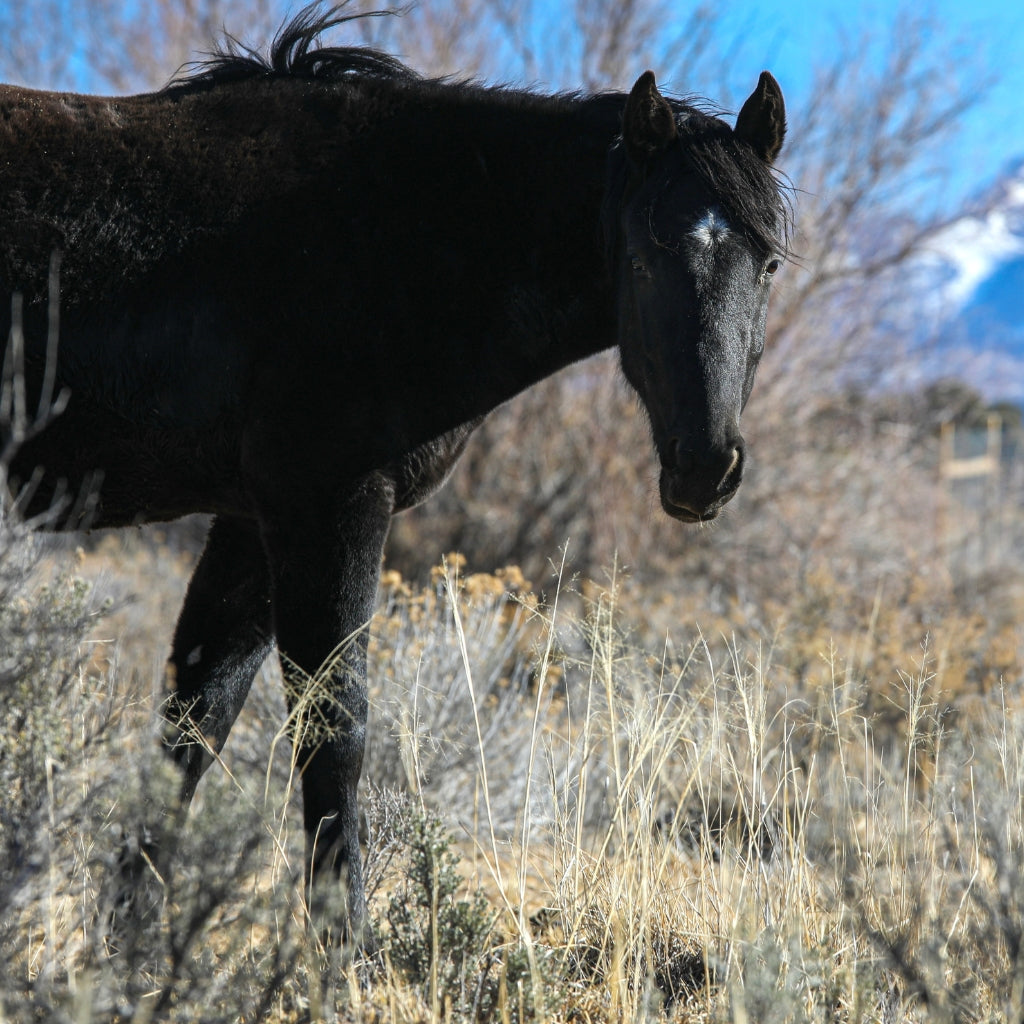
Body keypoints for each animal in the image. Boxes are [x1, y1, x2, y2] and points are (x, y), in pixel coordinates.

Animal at [0, 4, 787, 947]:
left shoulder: (253, 525)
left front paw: (135, 948)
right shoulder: (327, 507)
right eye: (640, 257)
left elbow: (195, 723)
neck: (390, 240)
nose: (705, 469)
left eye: (768, 264)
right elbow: (333, 735)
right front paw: (345, 954)